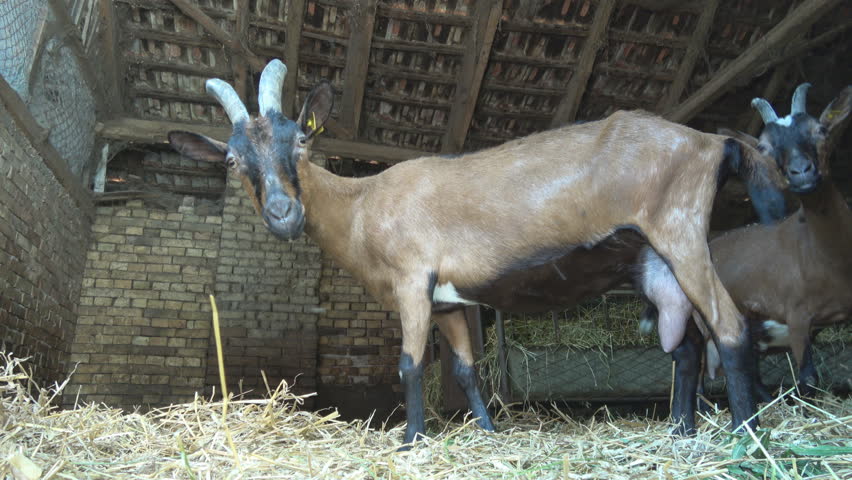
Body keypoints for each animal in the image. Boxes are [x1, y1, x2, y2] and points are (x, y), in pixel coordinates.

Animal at [167, 59, 783, 446]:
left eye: (300, 140)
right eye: (231, 161)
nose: (283, 213)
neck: (363, 203)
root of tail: (711, 142)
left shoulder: (413, 283)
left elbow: (410, 364)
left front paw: (411, 441)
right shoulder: (449, 302)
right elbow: (464, 371)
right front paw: (486, 432)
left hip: (681, 232)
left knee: (729, 327)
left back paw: (744, 434)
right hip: (654, 261)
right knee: (686, 345)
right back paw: (682, 431)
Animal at [641, 84, 852, 425]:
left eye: (820, 130)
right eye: (765, 147)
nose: (801, 173)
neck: (825, 254)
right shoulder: (797, 315)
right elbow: (808, 378)